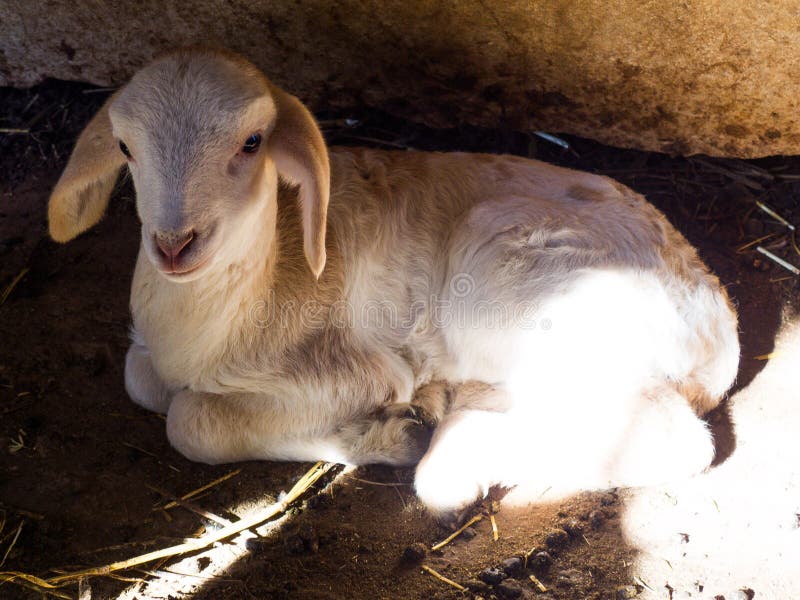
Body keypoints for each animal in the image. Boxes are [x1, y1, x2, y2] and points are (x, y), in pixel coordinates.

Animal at [48, 48, 739, 513]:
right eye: (125, 148)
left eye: (252, 142)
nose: (174, 244)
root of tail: (717, 321)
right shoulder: (153, 354)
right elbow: (142, 382)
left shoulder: (352, 370)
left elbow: (189, 420)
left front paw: (385, 431)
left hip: (512, 280)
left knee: (674, 441)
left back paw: (452, 450)